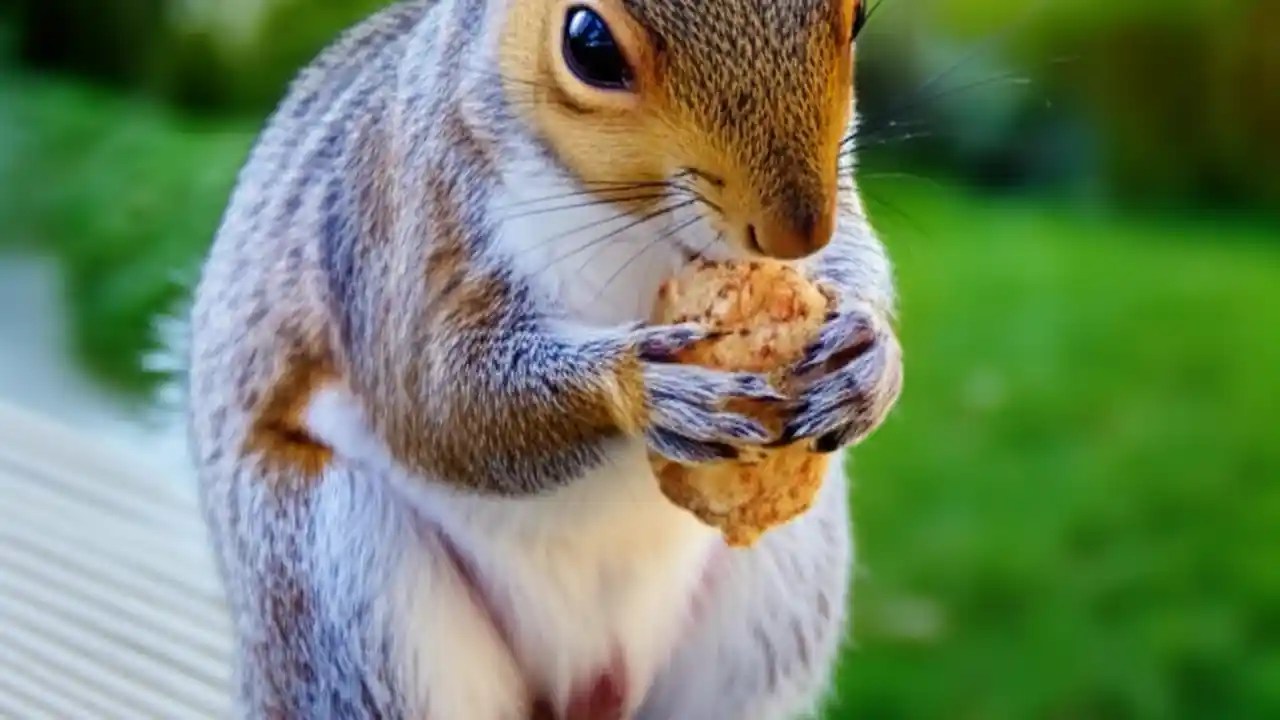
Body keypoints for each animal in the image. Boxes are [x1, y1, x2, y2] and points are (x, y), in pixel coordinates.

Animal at [186, 0, 902, 718]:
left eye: (859, 19)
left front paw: (872, 360)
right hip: (338, 585)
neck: (636, 220)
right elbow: (437, 399)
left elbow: (855, 252)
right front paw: (642, 387)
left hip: (777, 604)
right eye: (589, 45)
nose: (796, 234)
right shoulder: (398, 225)